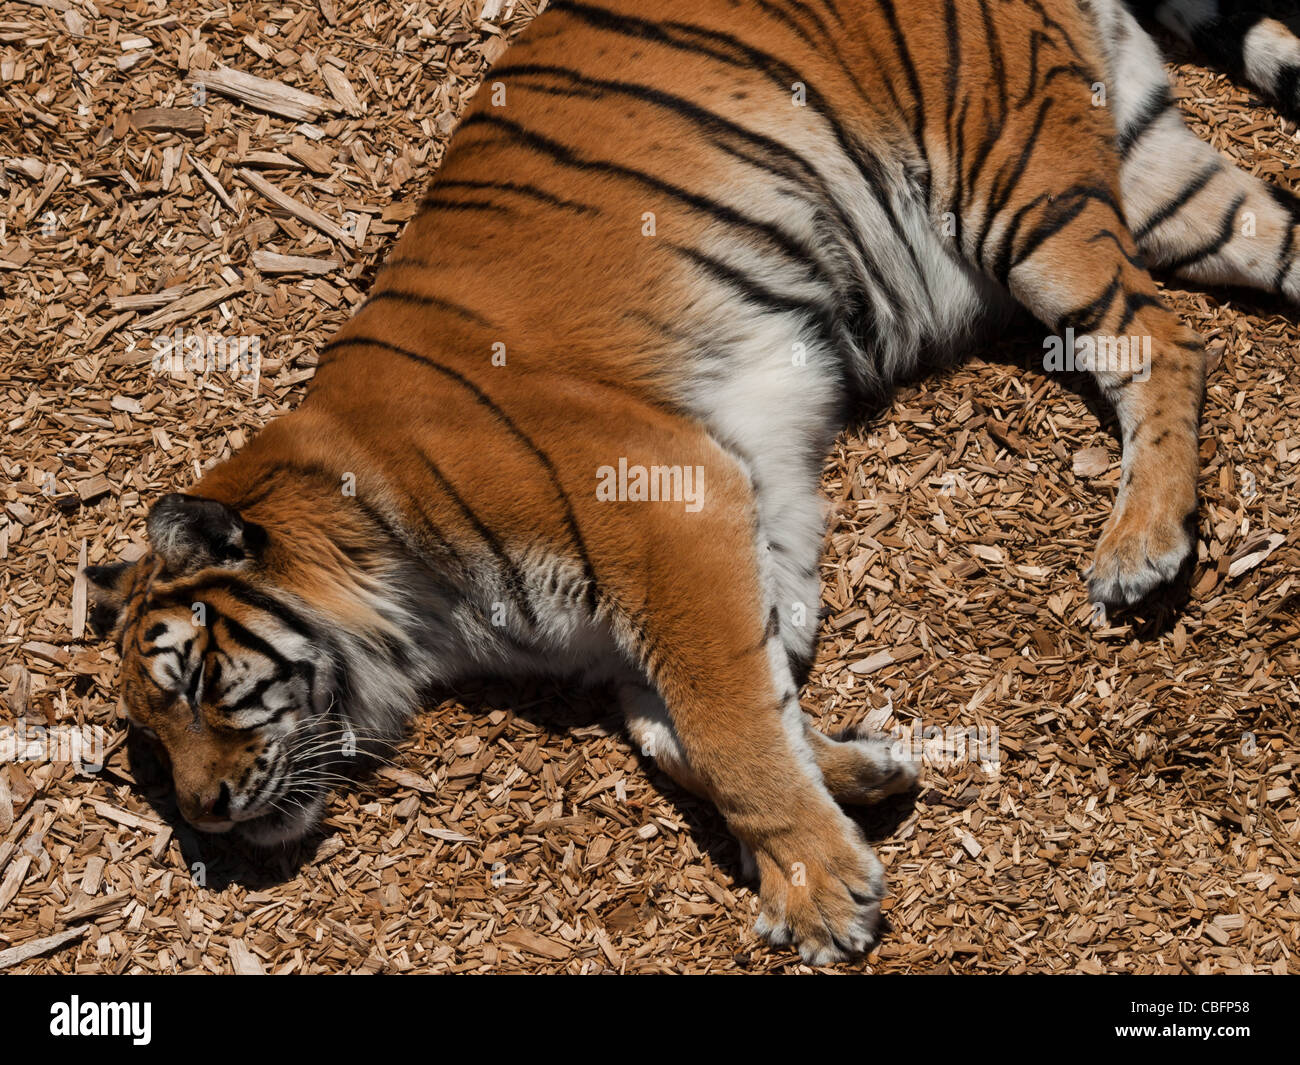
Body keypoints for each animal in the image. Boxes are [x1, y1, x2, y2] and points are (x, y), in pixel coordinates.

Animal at [87, 0, 1300, 965]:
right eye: (148, 737)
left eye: (193, 684)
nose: (207, 816)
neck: (414, 605)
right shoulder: (704, 565)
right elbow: (689, 731)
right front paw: (865, 774)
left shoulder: (668, 512)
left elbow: (724, 725)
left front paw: (819, 896)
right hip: (1157, 177)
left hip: (1022, 187)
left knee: (1162, 339)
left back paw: (1139, 550)